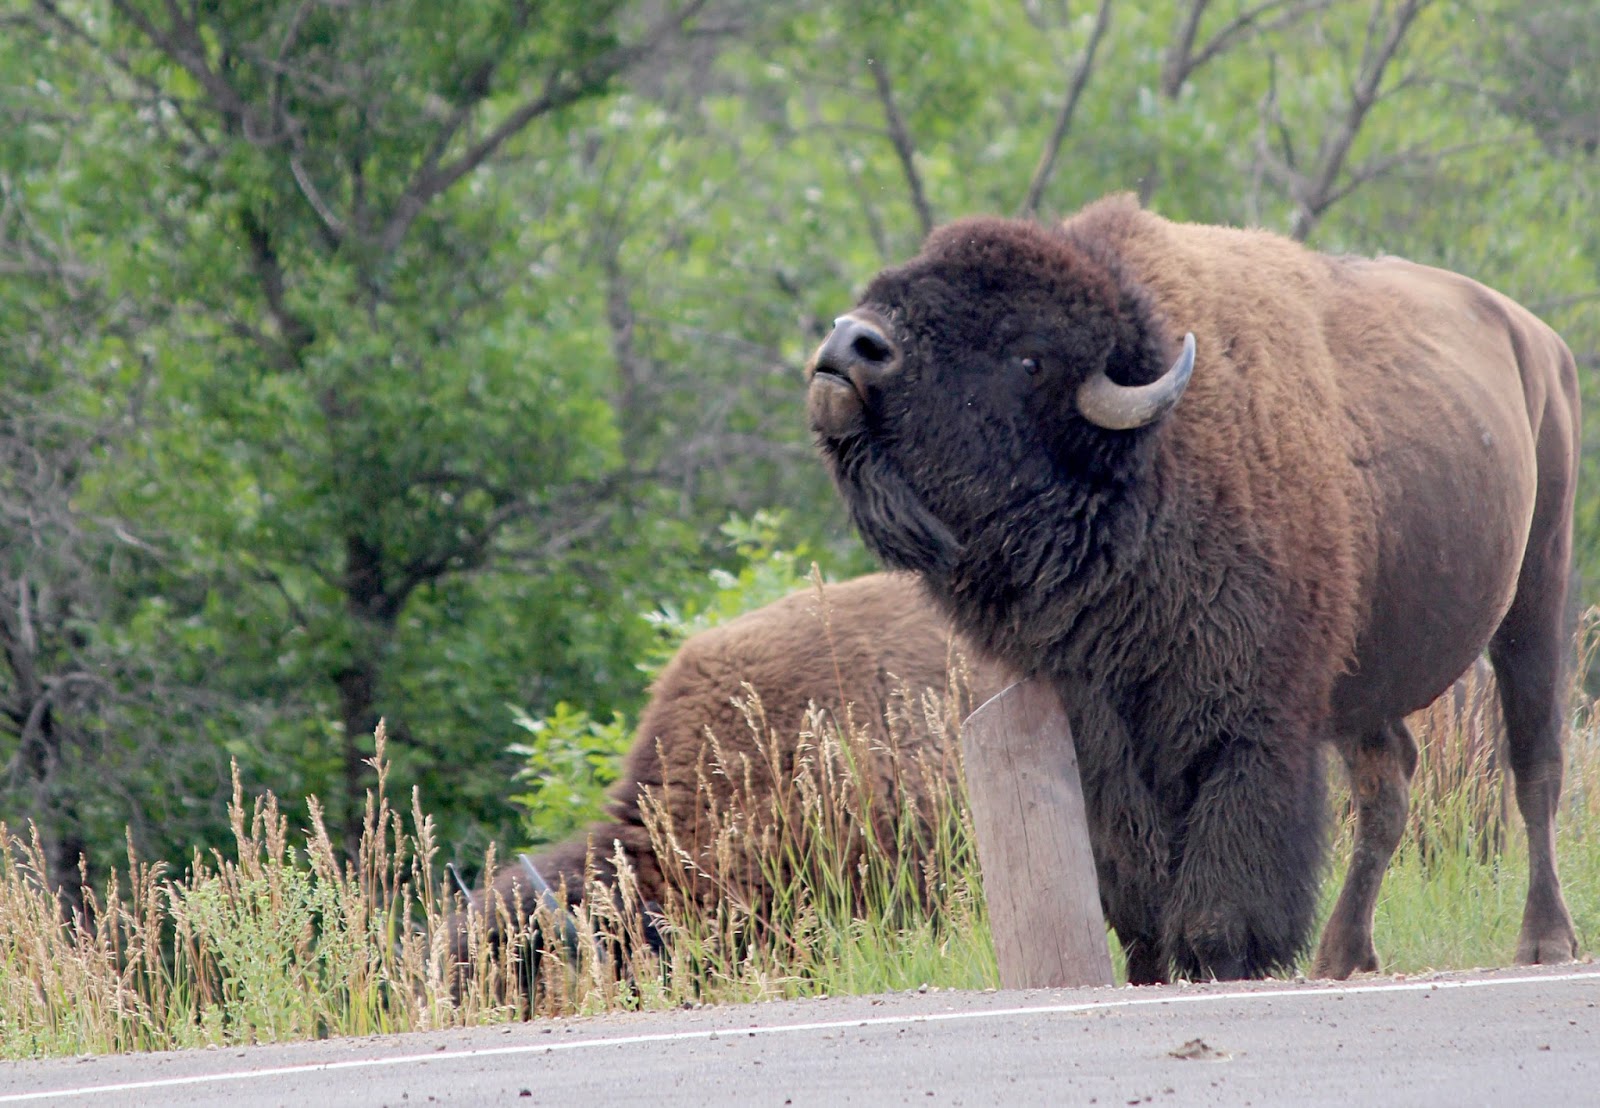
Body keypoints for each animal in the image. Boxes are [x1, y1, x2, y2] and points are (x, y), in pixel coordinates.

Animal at [806, 194, 1580, 982]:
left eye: (1027, 357)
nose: (851, 343)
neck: (1151, 457)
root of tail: (1541, 344)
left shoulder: (1250, 710)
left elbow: (1230, 834)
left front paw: (1219, 953)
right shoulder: (1093, 724)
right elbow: (1128, 852)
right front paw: (1150, 958)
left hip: (1538, 592)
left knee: (1535, 766)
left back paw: (1544, 940)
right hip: (1369, 677)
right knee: (1388, 783)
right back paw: (1341, 955)